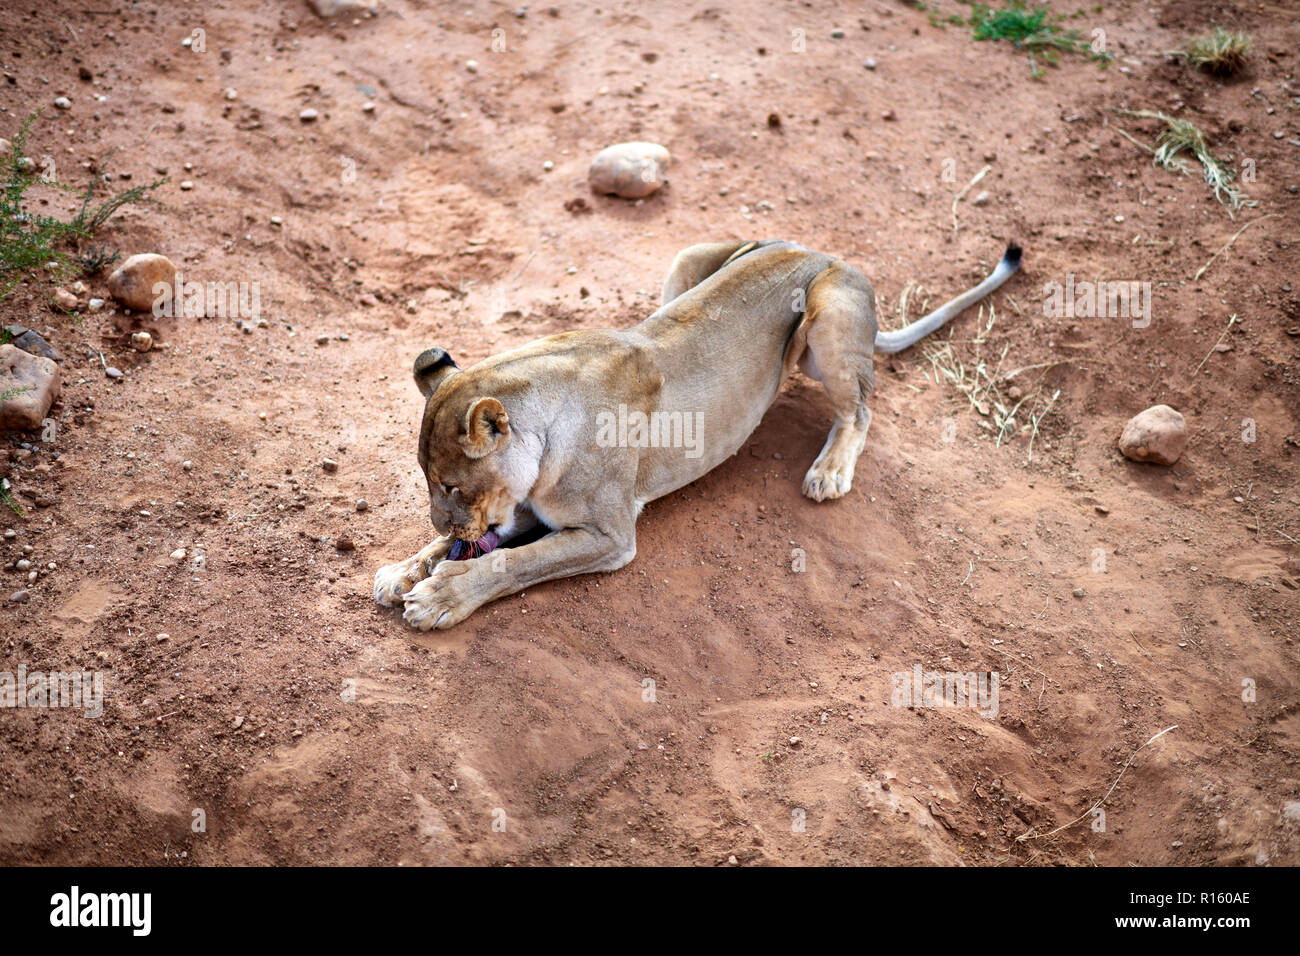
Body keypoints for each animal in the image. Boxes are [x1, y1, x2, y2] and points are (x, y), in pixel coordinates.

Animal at [375, 239, 1022, 629]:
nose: (446, 521)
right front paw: (405, 570)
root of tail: (817, 249)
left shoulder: (612, 535)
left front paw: (441, 595)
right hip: (689, 259)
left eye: (453, 486)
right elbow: (467, 548)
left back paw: (830, 471)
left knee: (859, 408)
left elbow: (514, 564)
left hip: (828, 315)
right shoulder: (526, 510)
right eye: (428, 482)